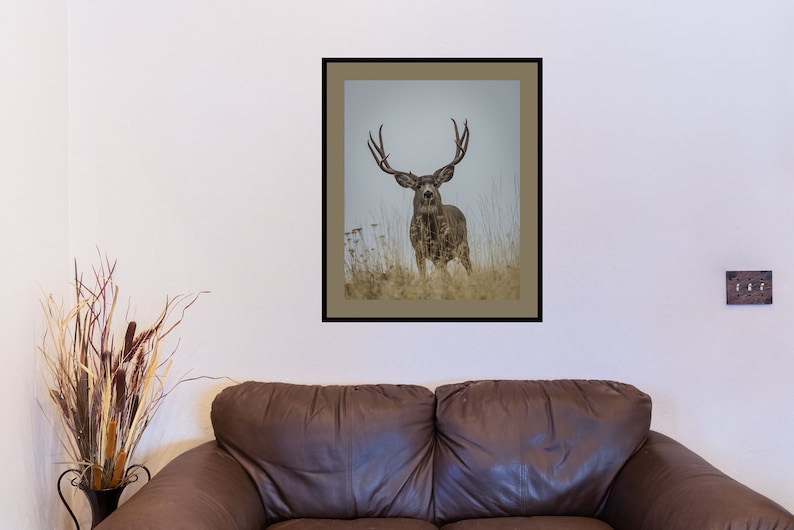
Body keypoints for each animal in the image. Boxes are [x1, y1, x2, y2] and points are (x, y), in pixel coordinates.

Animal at [367, 118, 473, 278]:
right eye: (418, 186)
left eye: (435, 183)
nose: (428, 193)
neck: (429, 233)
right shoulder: (418, 251)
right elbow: (423, 275)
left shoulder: (441, 250)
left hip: (463, 246)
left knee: (469, 268)